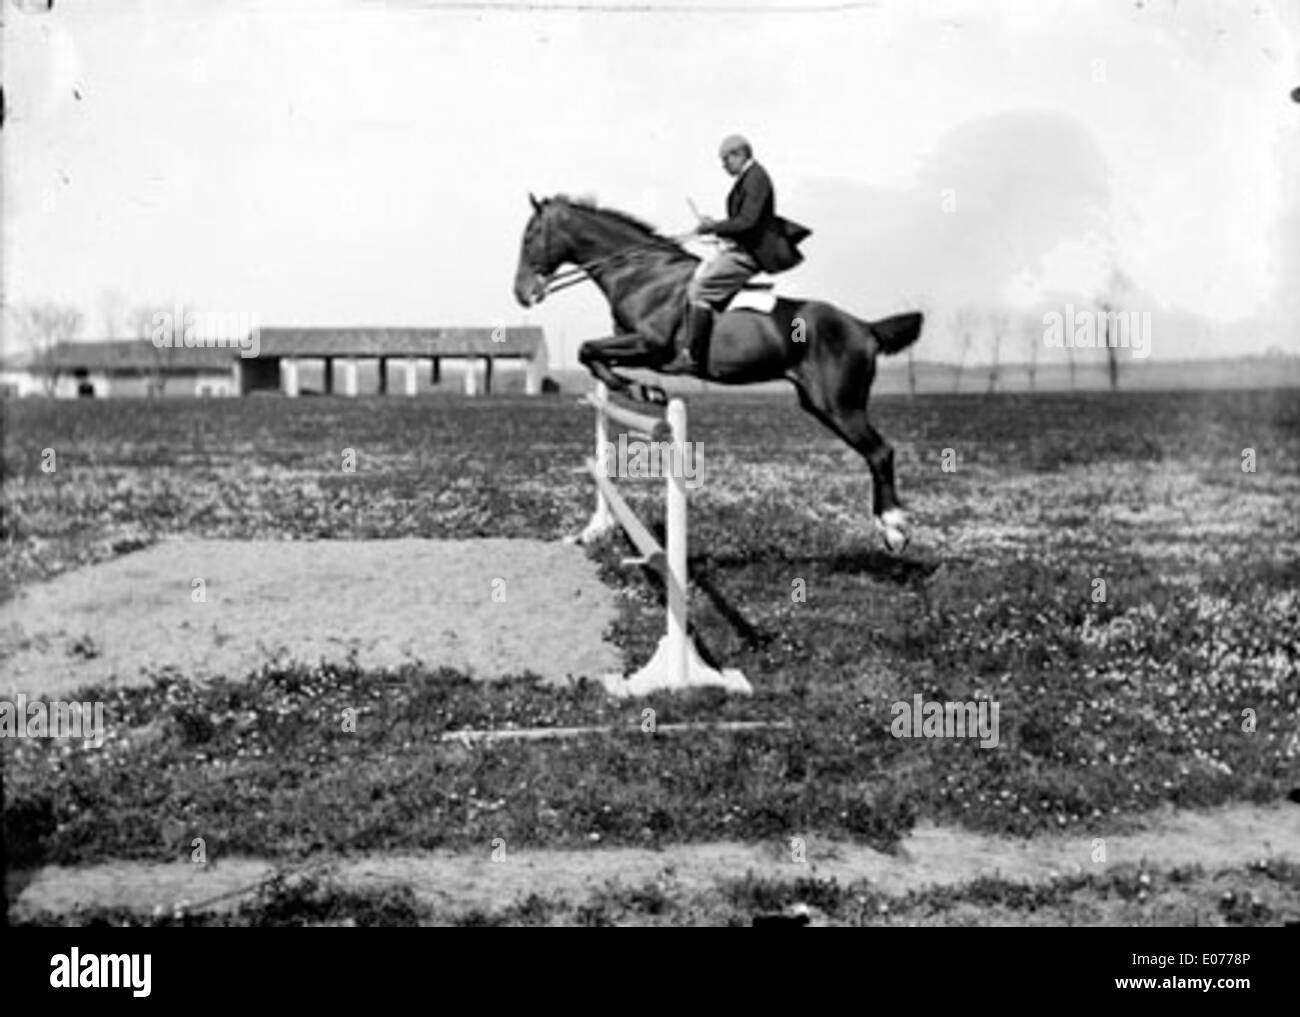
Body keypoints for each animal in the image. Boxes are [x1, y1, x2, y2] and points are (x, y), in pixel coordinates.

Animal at [512, 193, 924, 552]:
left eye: (530, 236)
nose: (521, 294)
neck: (641, 273)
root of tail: (864, 327)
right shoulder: (635, 347)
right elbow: (591, 353)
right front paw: (641, 389)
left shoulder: (651, 345)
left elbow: (586, 349)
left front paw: (643, 392)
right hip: (819, 404)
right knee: (876, 451)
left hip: (839, 405)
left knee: (880, 452)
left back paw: (894, 528)